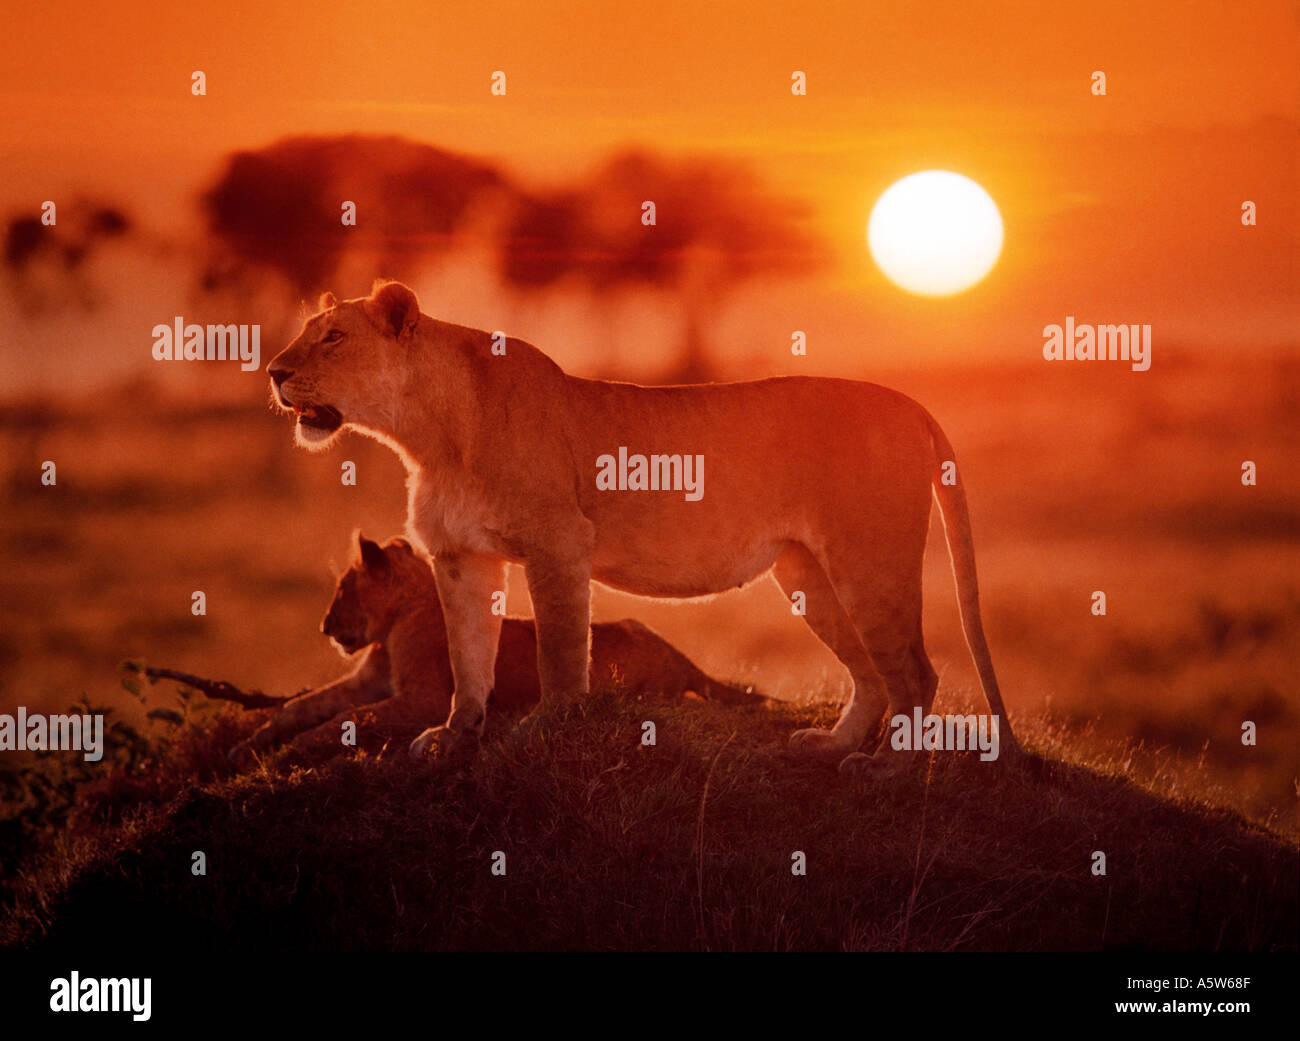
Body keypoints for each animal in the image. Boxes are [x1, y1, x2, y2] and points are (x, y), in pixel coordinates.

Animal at [228, 533, 762, 766]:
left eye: (342, 590)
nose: (323, 627)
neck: (404, 611)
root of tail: (679, 656)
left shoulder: (422, 697)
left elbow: (350, 718)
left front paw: (293, 750)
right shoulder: (368, 680)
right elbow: (305, 705)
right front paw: (251, 744)